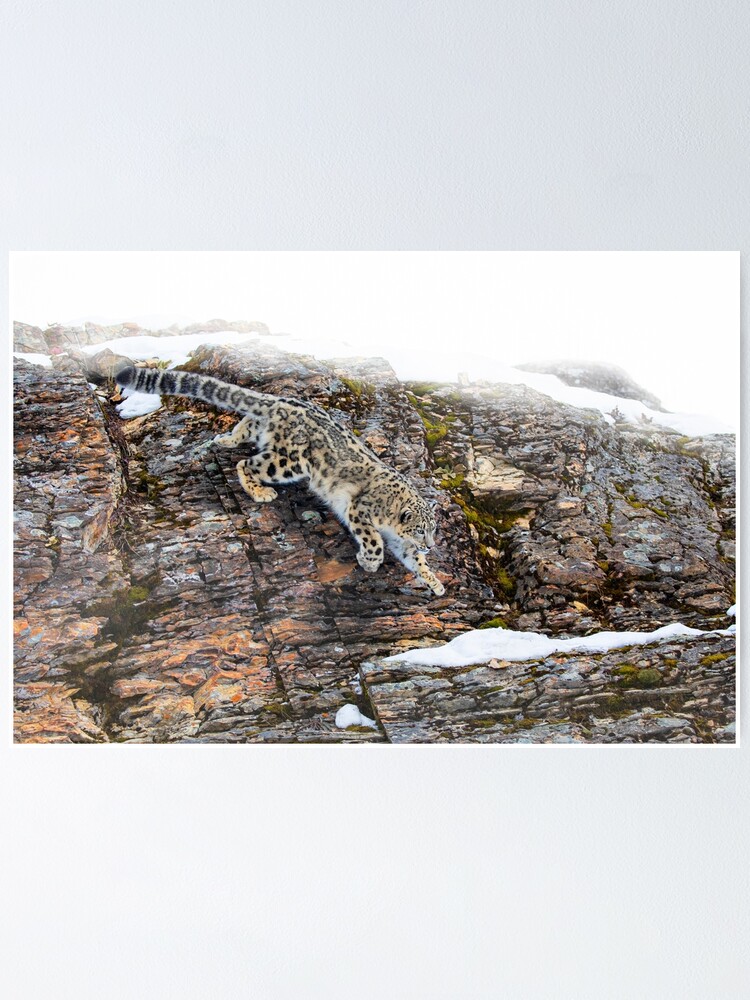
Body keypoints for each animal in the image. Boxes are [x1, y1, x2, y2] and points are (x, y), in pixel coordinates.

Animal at [115, 365, 446, 595]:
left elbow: (413, 559)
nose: (430, 546)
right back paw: (260, 491)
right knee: (246, 463)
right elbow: (374, 541)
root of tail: (280, 401)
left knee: (246, 425)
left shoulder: (400, 541)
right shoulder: (360, 511)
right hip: (291, 462)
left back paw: (224, 439)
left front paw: (434, 581)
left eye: (433, 530)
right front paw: (370, 562)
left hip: (263, 433)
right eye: (420, 530)